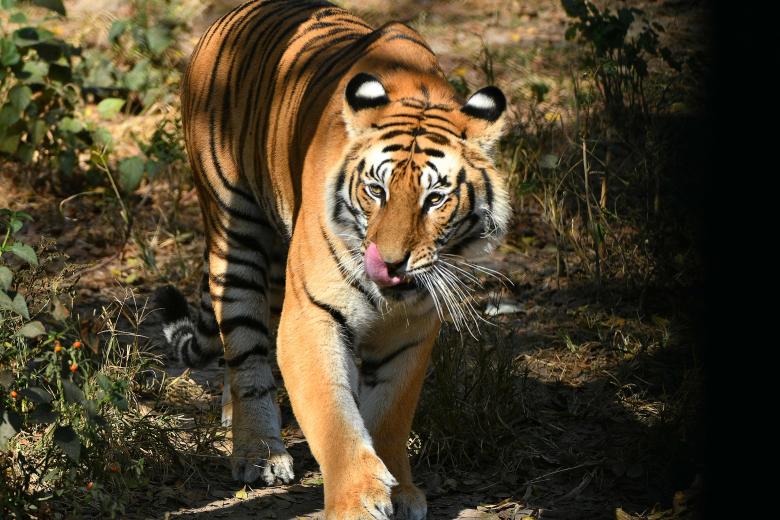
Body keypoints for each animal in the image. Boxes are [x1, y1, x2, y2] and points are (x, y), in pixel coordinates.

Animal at [155, 0, 511, 517]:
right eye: (376, 190)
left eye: (435, 198)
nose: (391, 263)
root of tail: (228, 16)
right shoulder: (311, 317)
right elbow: (335, 420)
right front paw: (357, 500)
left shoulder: (411, 331)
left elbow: (388, 416)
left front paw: (400, 491)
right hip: (233, 227)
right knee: (245, 346)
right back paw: (259, 453)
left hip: (276, 268)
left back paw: (231, 413)